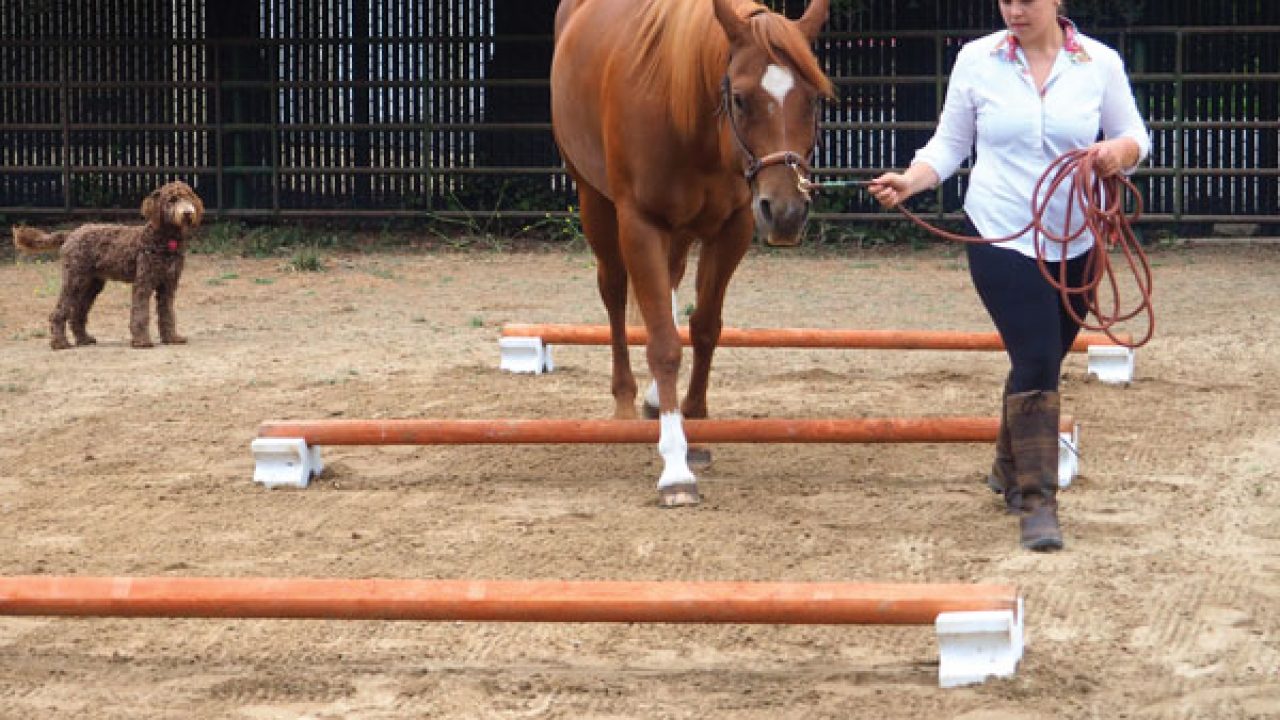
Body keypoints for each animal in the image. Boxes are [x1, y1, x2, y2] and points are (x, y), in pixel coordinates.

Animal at [551, 0, 833, 507]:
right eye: (739, 98)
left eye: (813, 98)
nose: (785, 213)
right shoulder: (640, 225)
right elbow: (664, 344)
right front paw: (676, 469)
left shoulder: (734, 226)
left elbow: (703, 329)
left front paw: (695, 427)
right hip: (593, 201)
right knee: (615, 293)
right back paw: (625, 403)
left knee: (669, 283)